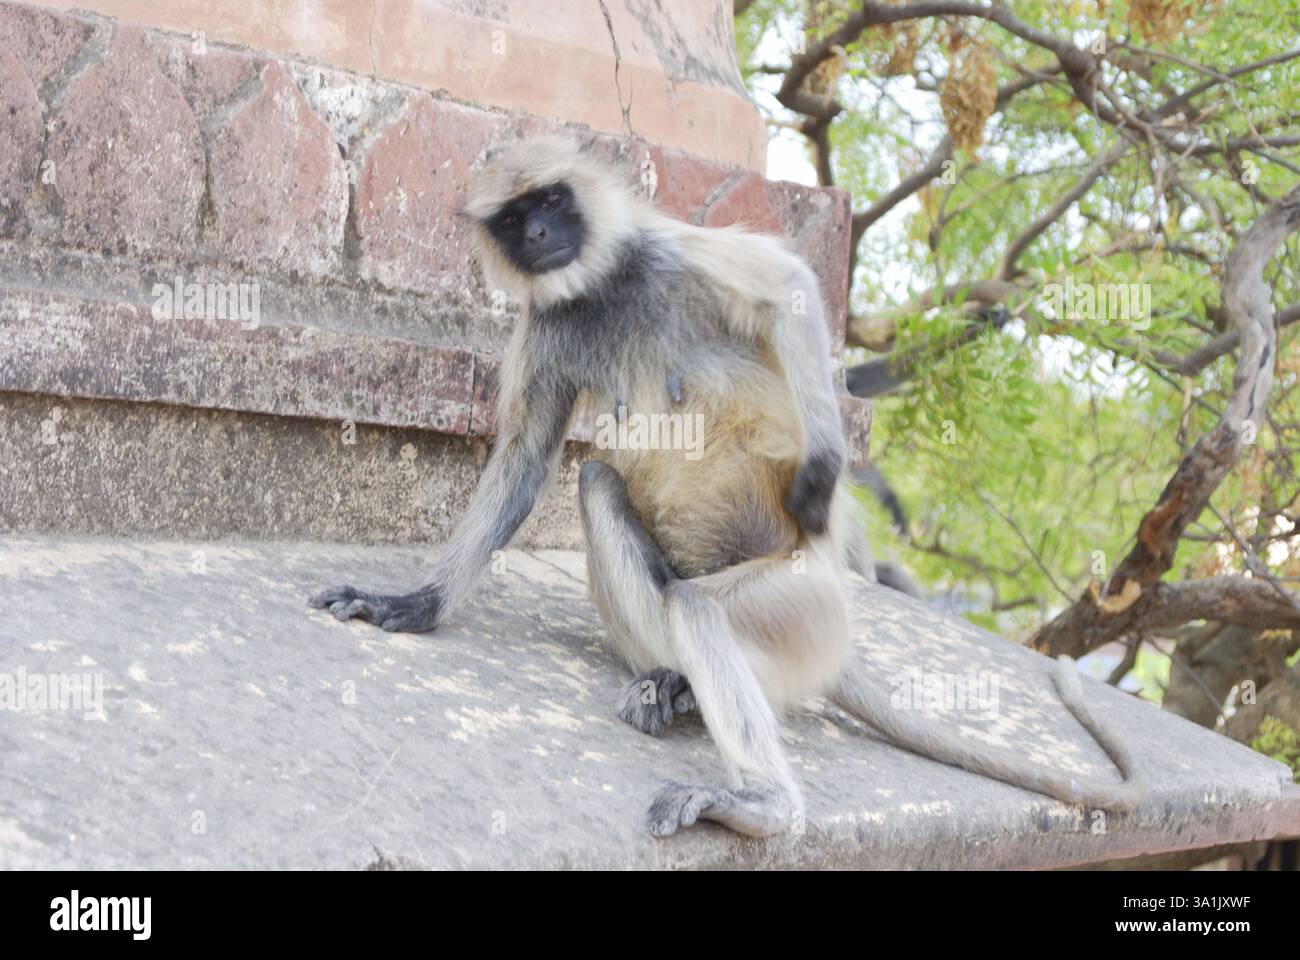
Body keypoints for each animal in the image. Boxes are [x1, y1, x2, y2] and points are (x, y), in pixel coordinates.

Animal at [309, 136, 1145, 838]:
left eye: (553, 201)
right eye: (515, 219)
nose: (541, 236)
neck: (603, 287)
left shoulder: (661, 248)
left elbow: (794, 285)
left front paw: (822, 474)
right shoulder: (548, 318)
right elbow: (523, 459)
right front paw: (417, 602)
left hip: (802, 601)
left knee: (700, 606)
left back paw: (761, 806)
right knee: (600, 484)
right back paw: (670, 681)